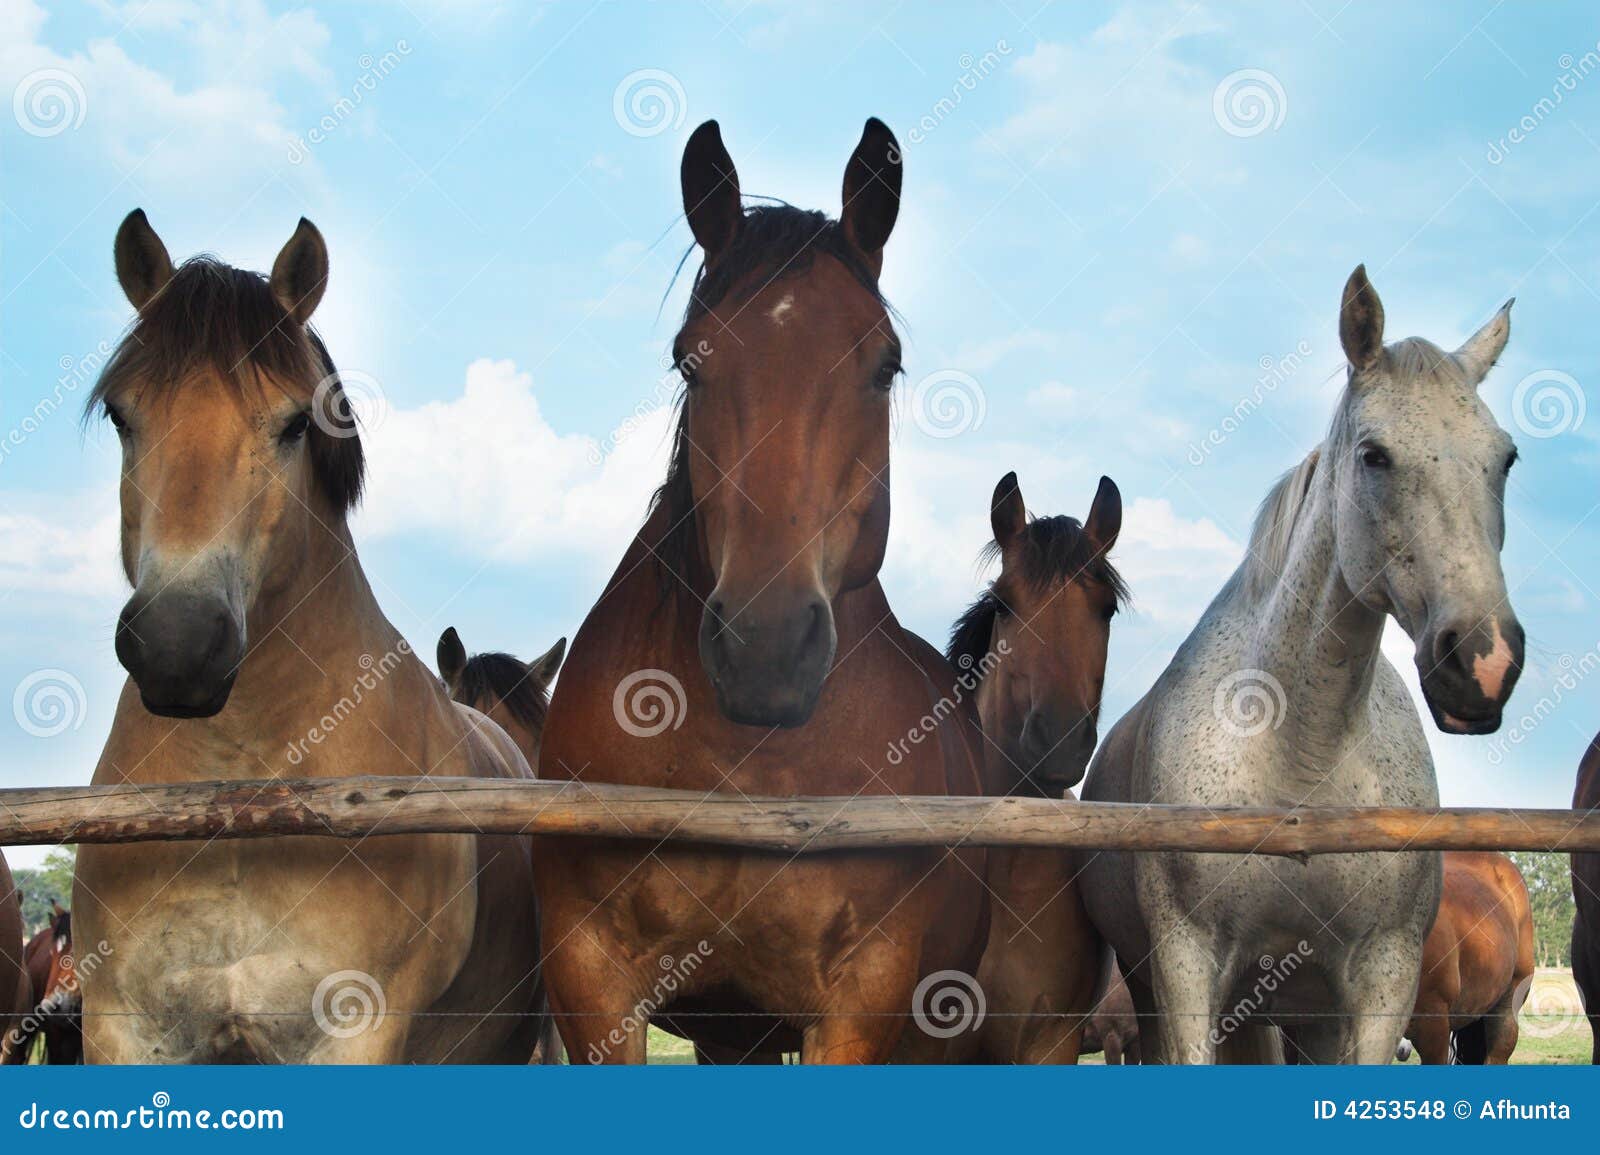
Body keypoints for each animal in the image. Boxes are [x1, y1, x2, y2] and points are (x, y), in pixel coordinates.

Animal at [73, 210, 547, 1063]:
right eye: (124, 417)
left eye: (296, 422)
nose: (178, 643)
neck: (246, 798)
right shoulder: (124, 1027)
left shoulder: (358, 1028)